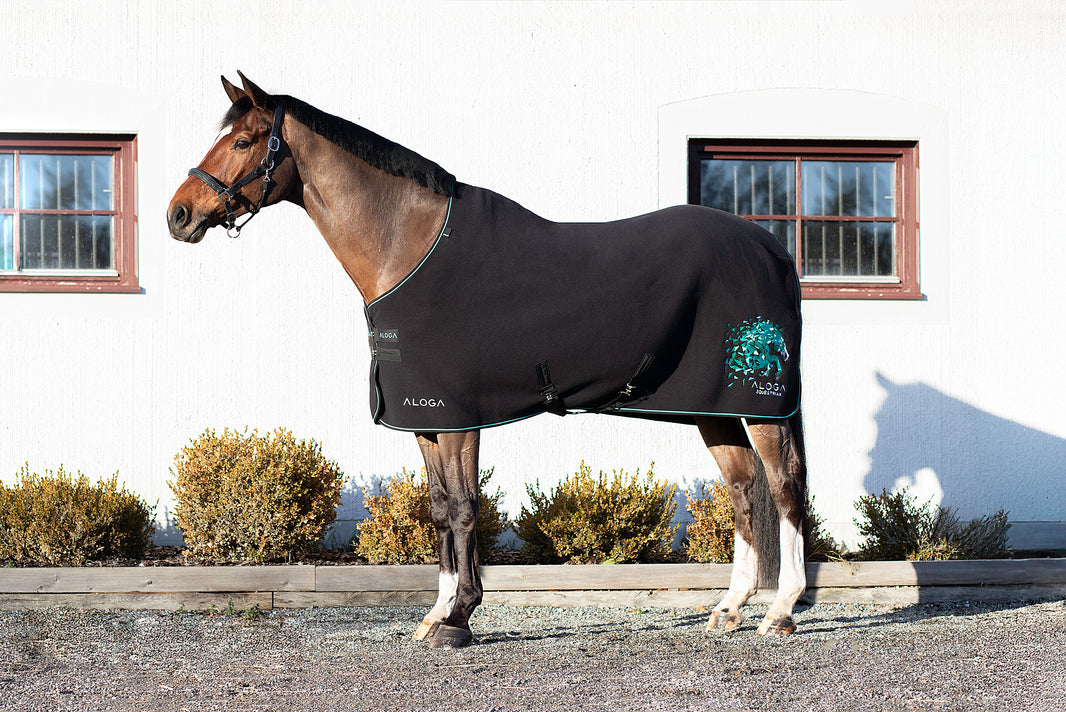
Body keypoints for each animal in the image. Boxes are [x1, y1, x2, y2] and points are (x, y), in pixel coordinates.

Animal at [167, 73, 808, 649]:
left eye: (243, 142)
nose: (179, 215)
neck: (410, 244)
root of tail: (772, 247)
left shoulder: (457, 417)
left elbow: (463, 507)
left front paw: (458, 617)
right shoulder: (425, 416)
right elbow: (437, 508)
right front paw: (439, 612)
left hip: (761, 406)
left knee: (784, 487)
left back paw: (780, 613)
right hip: (711, 408)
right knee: (742, 488)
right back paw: (729, 609)